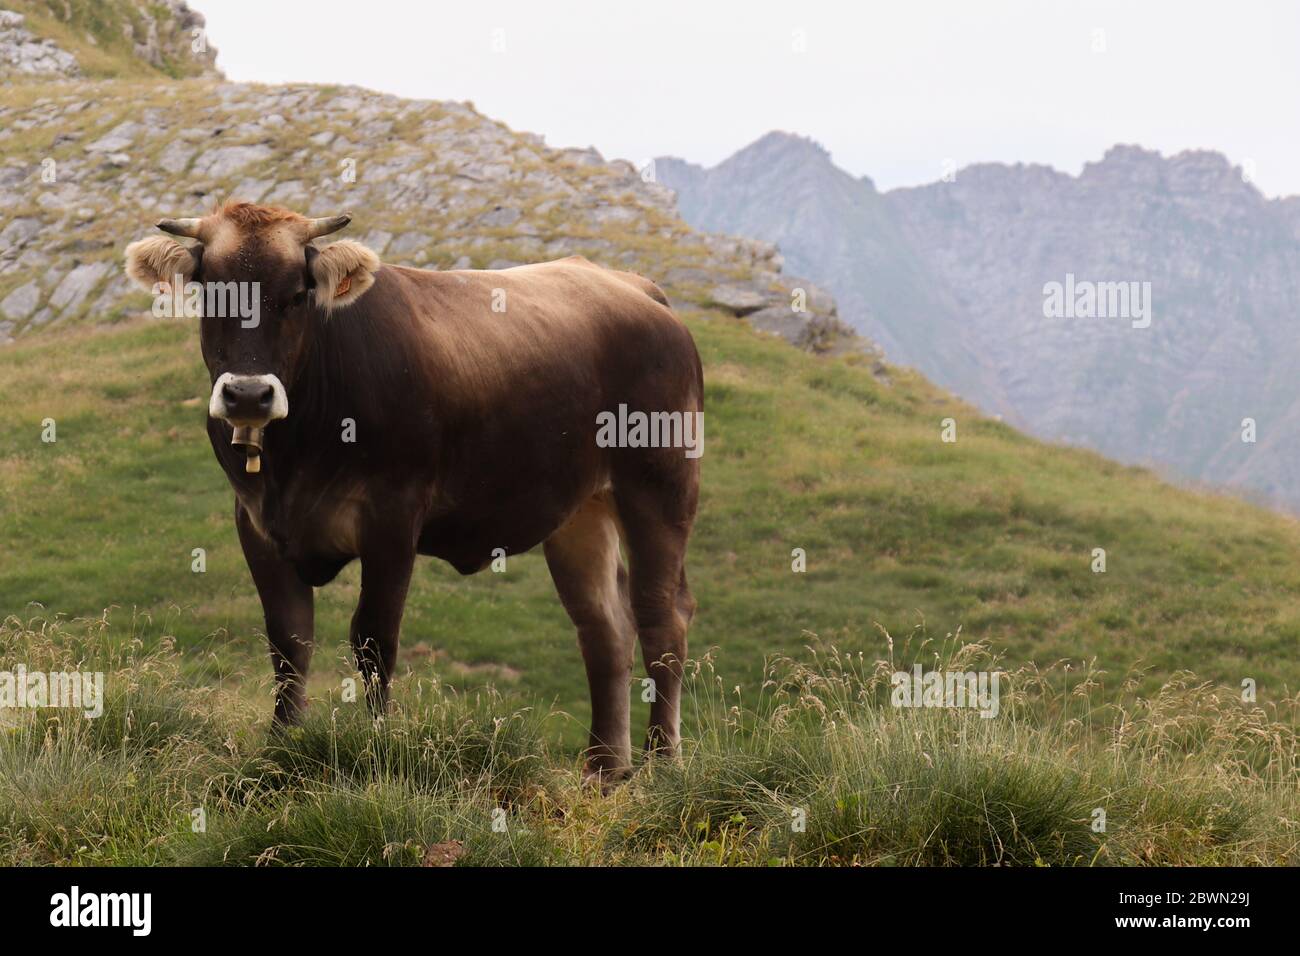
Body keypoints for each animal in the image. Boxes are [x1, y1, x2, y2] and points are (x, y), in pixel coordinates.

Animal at [123, 201, 702, 784]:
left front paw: (379, 745)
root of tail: (636, 288)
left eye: (297, 295)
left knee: (661, 617)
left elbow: (373, 638)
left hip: (660, 487)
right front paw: (279, 750)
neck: (295, 453)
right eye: (211, 292)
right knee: (605, 628)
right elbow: (288, 642)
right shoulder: (257, 524)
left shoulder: (393, 516)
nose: (248, 395)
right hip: (580, 512)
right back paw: (603, 772)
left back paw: (661, 763)